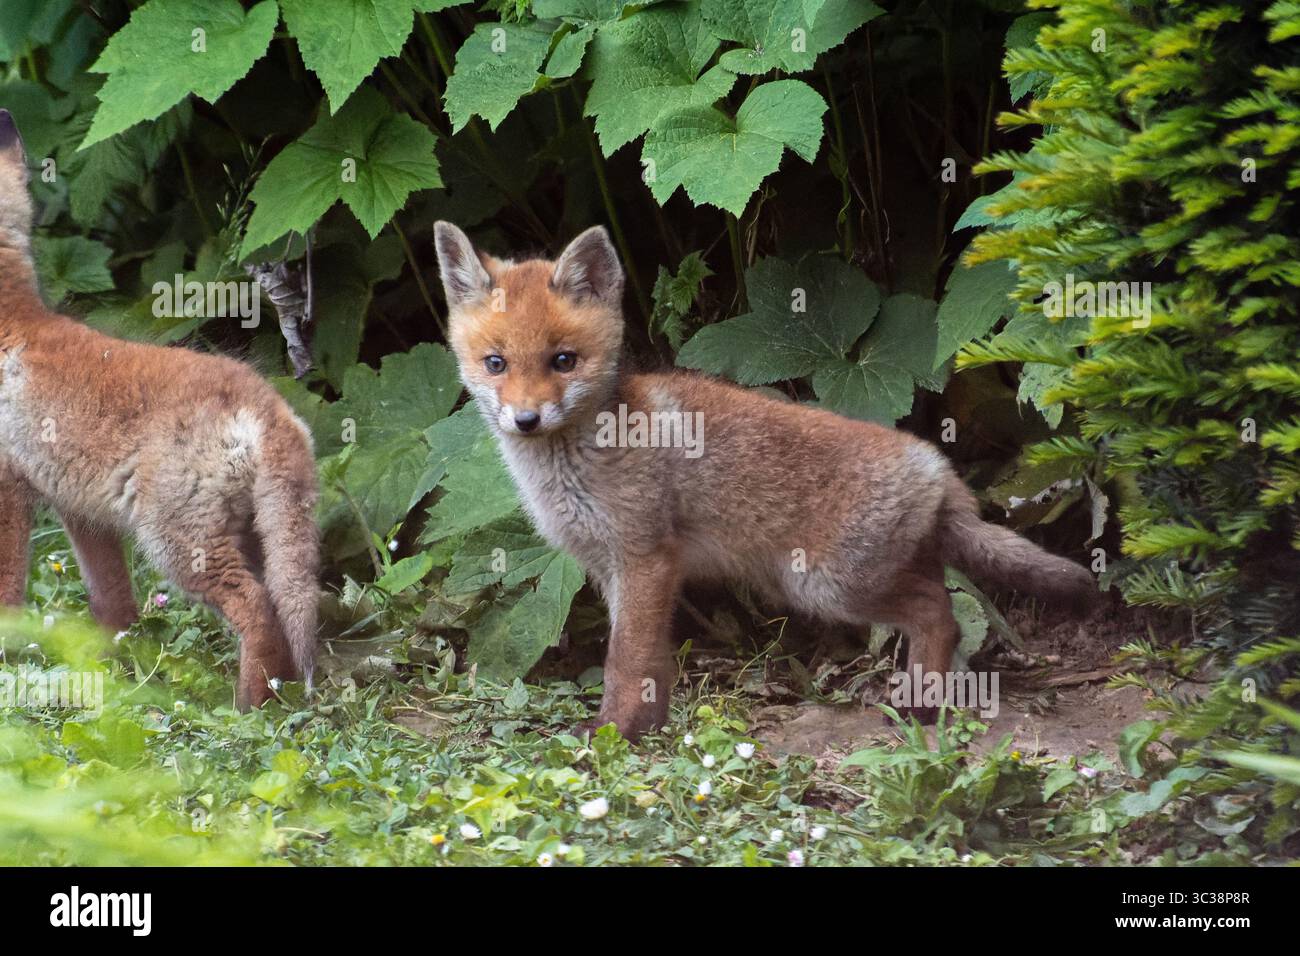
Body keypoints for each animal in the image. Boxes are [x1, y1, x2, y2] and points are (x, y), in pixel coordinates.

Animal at [0, 109, 319, 709]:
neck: (13, 324)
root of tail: (261, 398)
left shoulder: (10, 491)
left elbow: (8, 590)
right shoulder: (81, 511)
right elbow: (112, 604)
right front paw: (109, 674)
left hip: (177, 544)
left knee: (256, 608)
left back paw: (246, 711)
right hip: (251, 535)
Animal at [434, 220, 1099, 740]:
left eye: (563, 361)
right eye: (496, 363)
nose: (525, 419)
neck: (579, 464)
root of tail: (937, 464)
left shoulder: (647, 559)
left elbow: (626, 662)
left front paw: (613, 735)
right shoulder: (609, 568)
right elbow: (651, 666)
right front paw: (649, 729)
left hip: (826, 585)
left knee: (941, 611)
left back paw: (923, 706)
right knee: (943, 603)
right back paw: (921, 696)